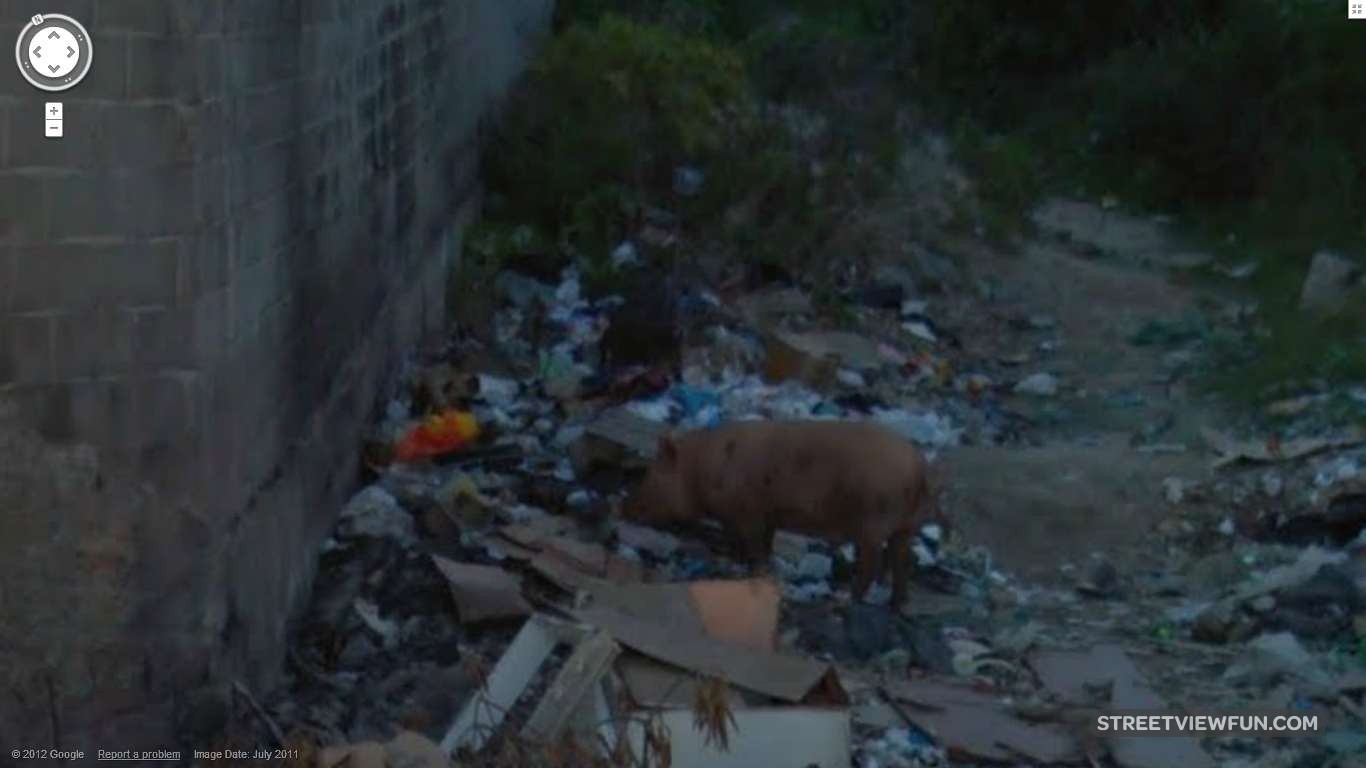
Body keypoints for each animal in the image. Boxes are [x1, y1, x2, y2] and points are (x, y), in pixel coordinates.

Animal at [621, 419, 941, 610]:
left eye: (651, 474)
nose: (623, 508)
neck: (700, 469)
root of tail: (920, 465)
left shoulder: (746, 512)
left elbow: (750, 543)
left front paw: (750, 569)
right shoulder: (766, 515)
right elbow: (764, 542)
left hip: (873, 522)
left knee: (872, 563)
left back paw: (842, 601)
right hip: (906, 526)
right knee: (903, 561)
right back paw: (896, 605)